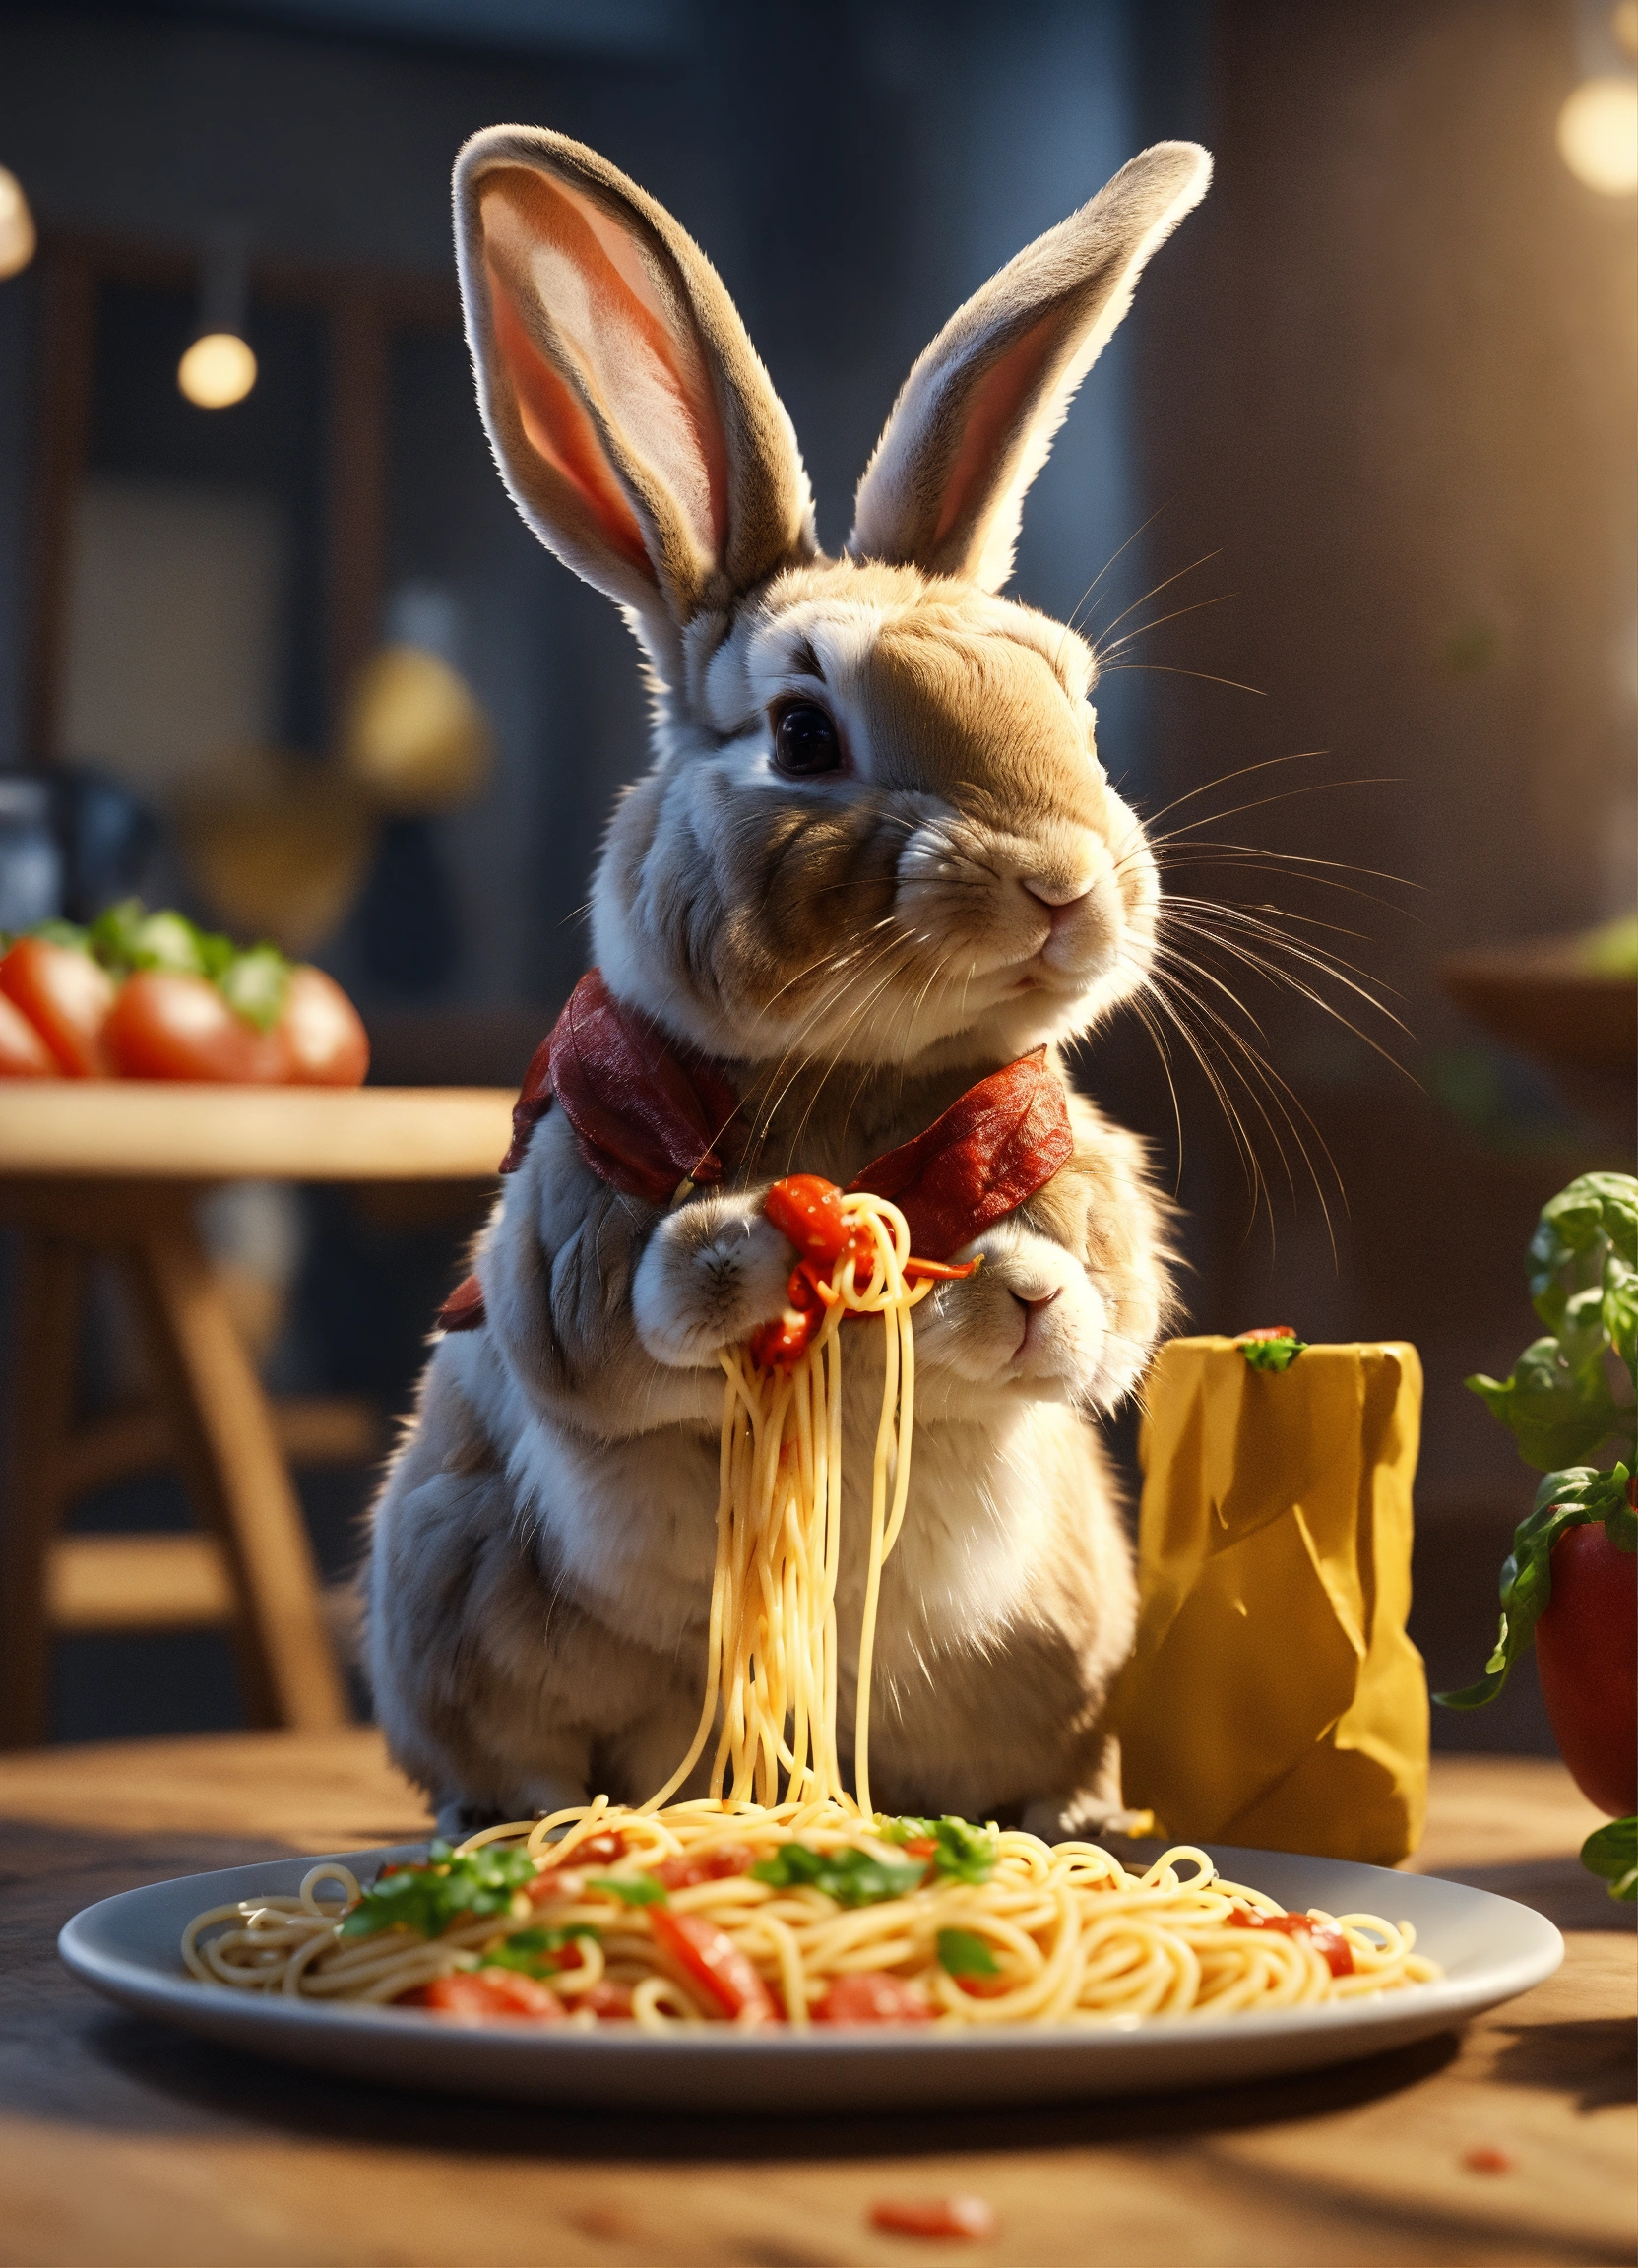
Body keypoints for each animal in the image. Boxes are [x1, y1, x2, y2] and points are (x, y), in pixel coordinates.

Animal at [364, 124, 1208, 1841]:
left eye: (1075, 699)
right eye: (806, 736)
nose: (1065, 883)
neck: (862, 1083)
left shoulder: (1083, 1171)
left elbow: (1108, 1312)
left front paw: (1010, 1288)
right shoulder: (571, 1208)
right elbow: (611, 1326)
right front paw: (753, 1248)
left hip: (1067, 1636)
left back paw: (1073, 1826)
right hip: (455, 1598)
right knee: (511, 1754)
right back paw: (514, 1825)